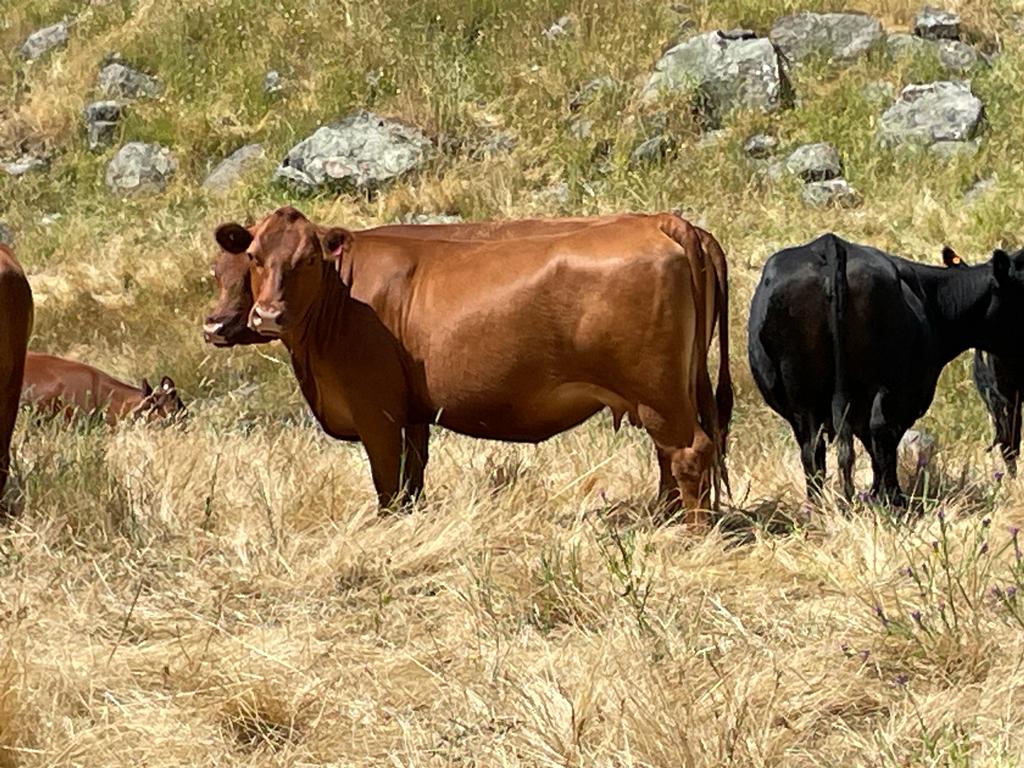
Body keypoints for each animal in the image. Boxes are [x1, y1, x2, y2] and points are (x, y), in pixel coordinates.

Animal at [213, 207, 729, 524]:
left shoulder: (376, 410)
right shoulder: (413, 413)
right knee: (670, 455)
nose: (264, 316)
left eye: (307, 261)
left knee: (689, 452)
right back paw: (665, 519)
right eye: (252, 257)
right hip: (668, 392)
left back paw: (690, 535)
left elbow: (389, 481)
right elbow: (413, 477)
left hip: (657, 390)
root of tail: (665, 223)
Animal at [748, 232, 1024, 507]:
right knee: (879, 436)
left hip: (803, 395)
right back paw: (891, 499)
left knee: (815, 449)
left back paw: (823, 506)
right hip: (888, 386)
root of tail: (830, 244)